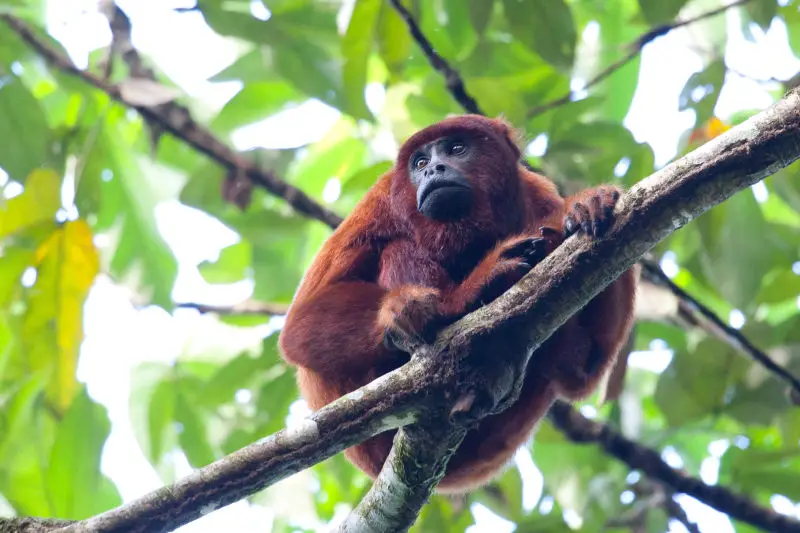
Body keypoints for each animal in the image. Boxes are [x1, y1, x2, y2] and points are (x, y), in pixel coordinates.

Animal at [278, 114, 637, 493]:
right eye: (420, 163)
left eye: (457, 148)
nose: (434, 169)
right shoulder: (379, 203)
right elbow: (298, 328)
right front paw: (424, 308)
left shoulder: (538, 192)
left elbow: (585, 369)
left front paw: (588, 204)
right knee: (397, 248)